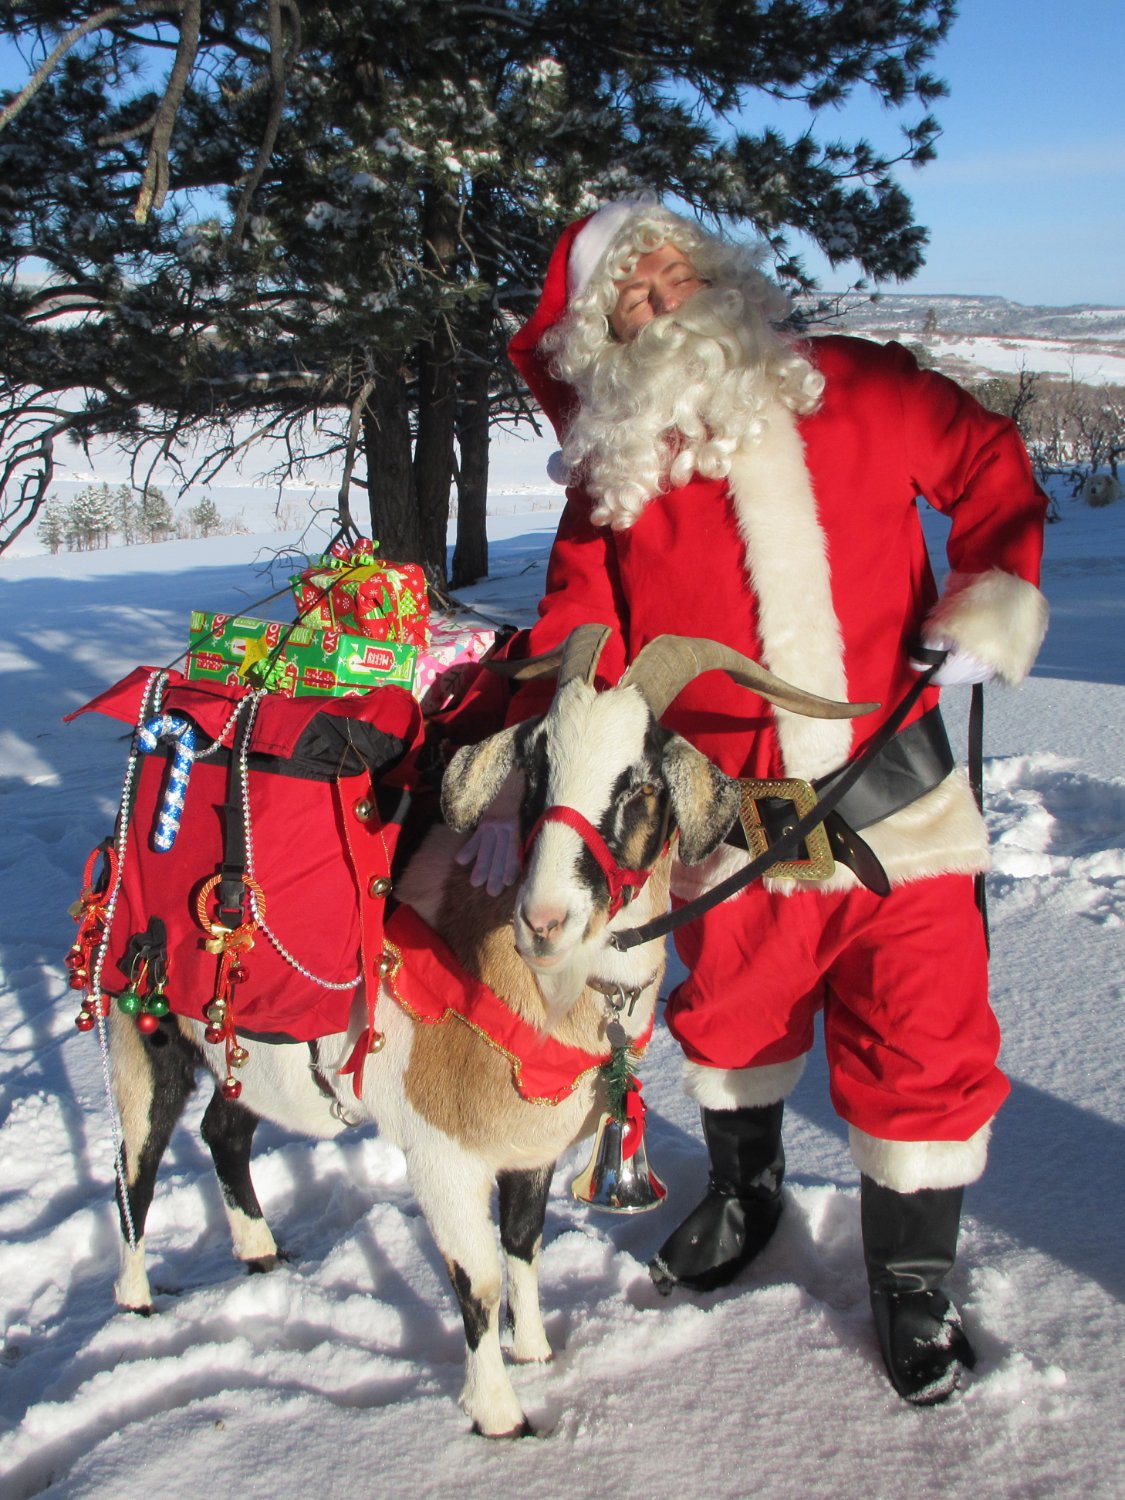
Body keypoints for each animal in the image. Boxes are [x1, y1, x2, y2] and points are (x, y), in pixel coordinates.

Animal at [107, 625, 863, 1436]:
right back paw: (136, 1302)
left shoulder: (529, 1151)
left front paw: (535, 1353)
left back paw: (259, 1254)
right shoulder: (442, 1156)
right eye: (536, 775)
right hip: (144, 1031)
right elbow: (480, 1282)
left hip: (247, 1060)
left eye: (640, 788)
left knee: (223, 1131)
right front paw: (501, 1418)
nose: (544, 921)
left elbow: (524, 1248)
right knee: (135, 1165)